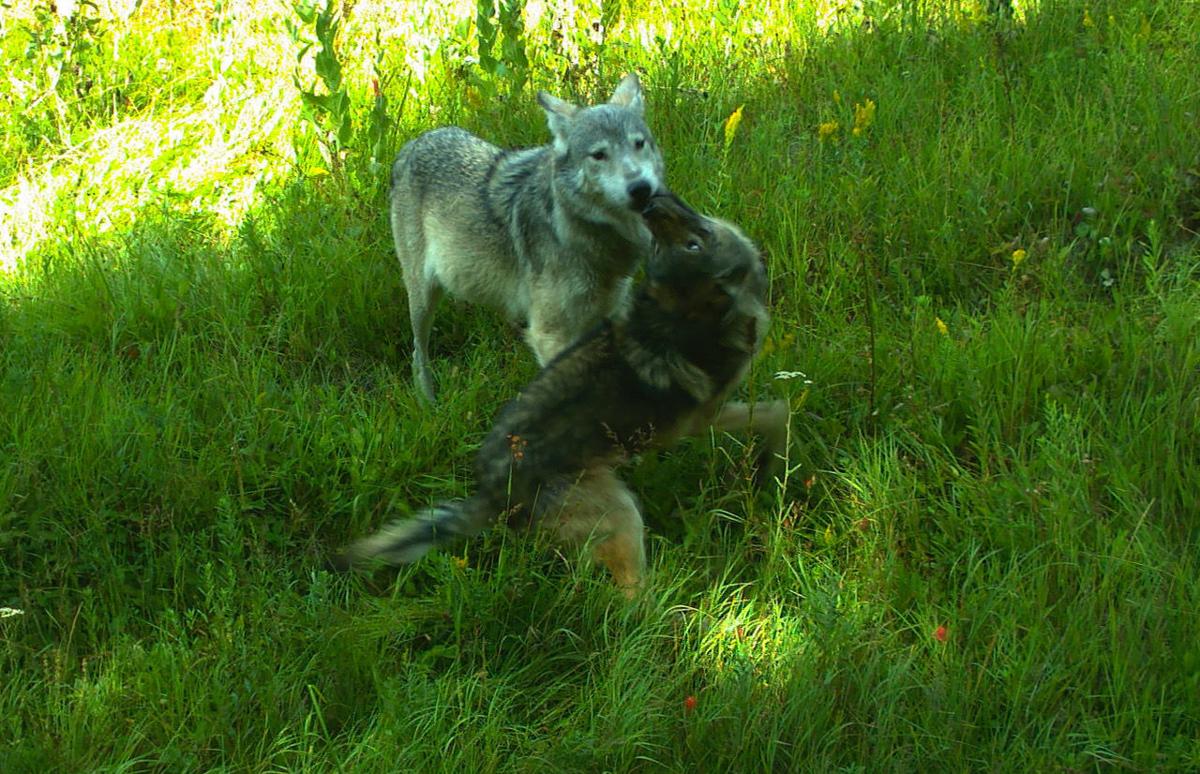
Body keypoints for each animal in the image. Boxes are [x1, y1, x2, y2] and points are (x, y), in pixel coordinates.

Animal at [336, 193, 789, 596]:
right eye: (667, 243)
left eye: (691, 243)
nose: (650, 203)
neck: (683, 314)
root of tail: (491, 495)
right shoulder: (706, 417)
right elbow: (778, 411)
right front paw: (775, 469)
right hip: (622, 513)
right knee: (628, 597)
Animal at [390, 73, 666, 402]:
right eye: (599, 155)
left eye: (639, 144)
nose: (641, 187)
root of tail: (412, 145)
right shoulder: (550, 336)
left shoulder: (602, 318)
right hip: (422, 298)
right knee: (418, 352)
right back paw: (428, 403)